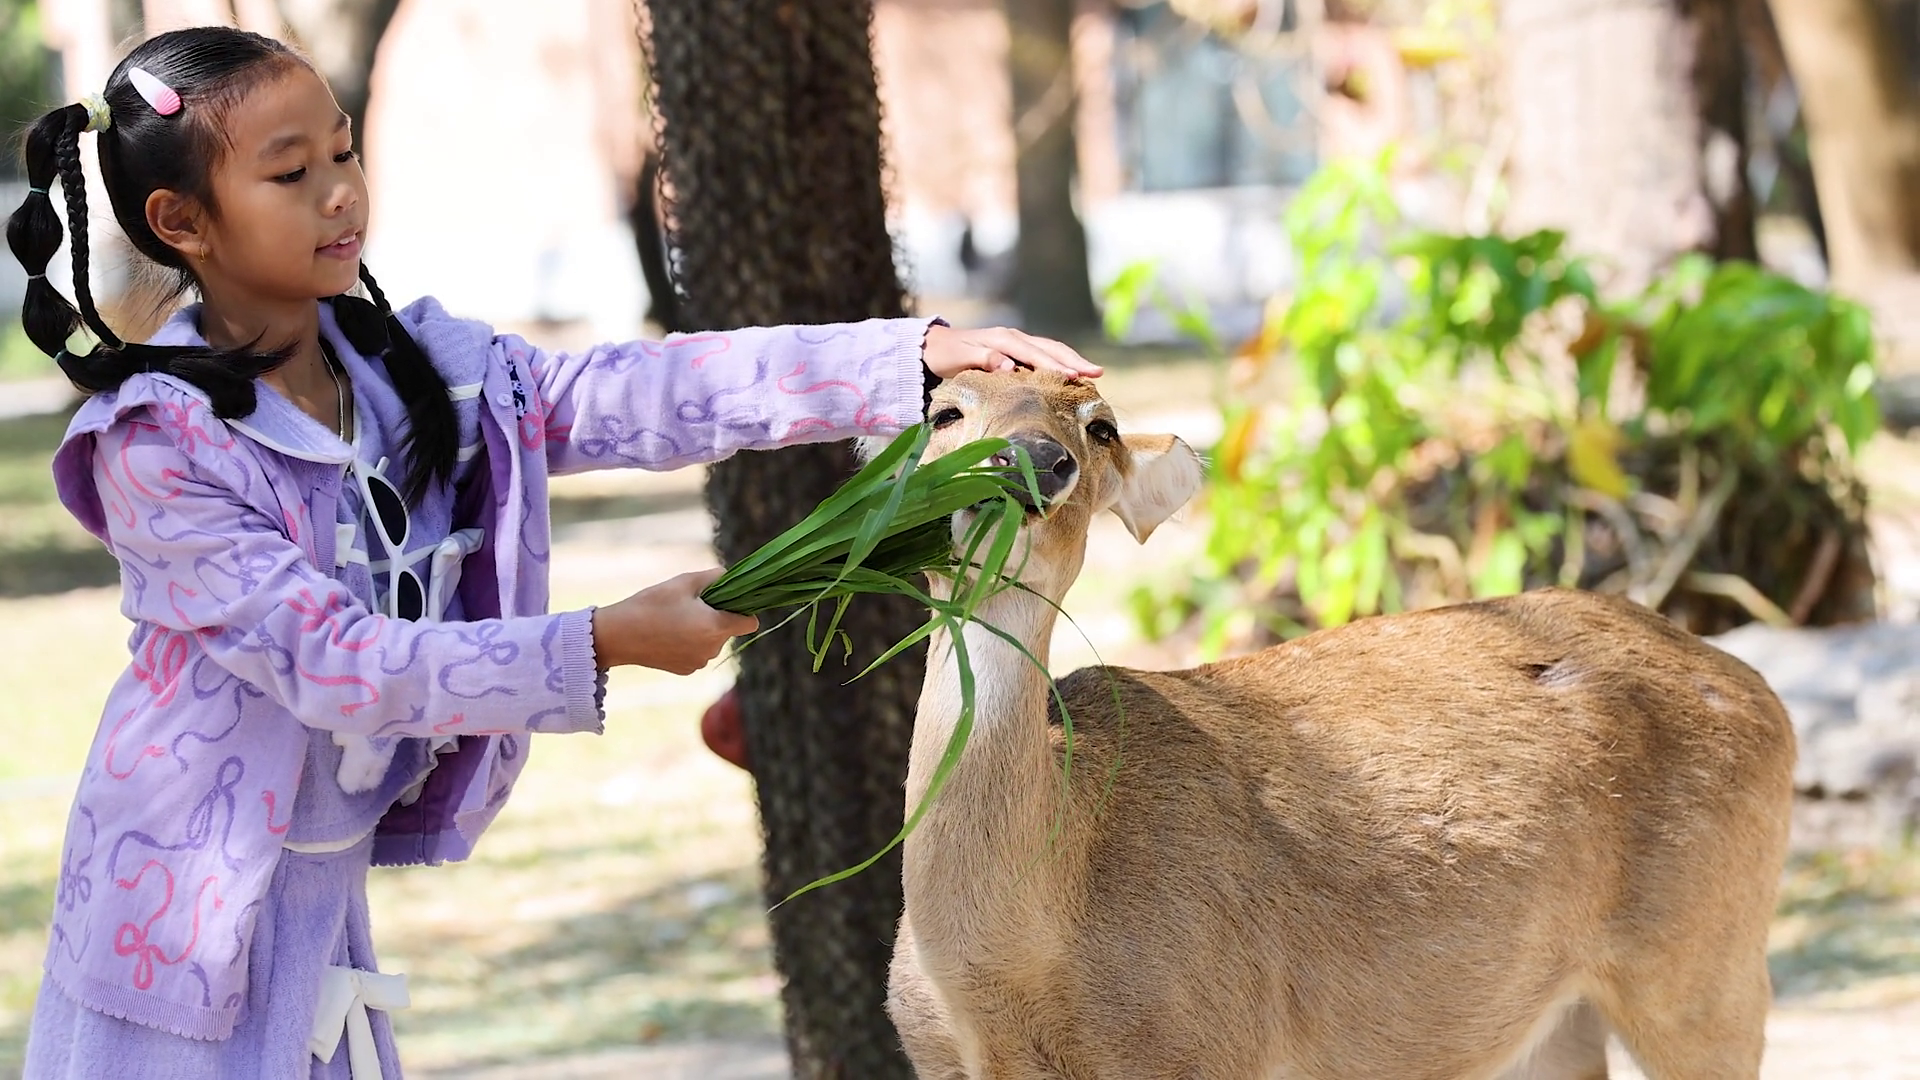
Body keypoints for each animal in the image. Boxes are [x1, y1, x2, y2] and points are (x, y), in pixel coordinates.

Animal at [880, 370, 1796, 1079]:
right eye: (945, 410)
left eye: (1100, 424)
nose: (1035, 460)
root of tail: (1764, 696)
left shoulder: (1207, 1042)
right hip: (1557, 1021)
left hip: (1705, 962)